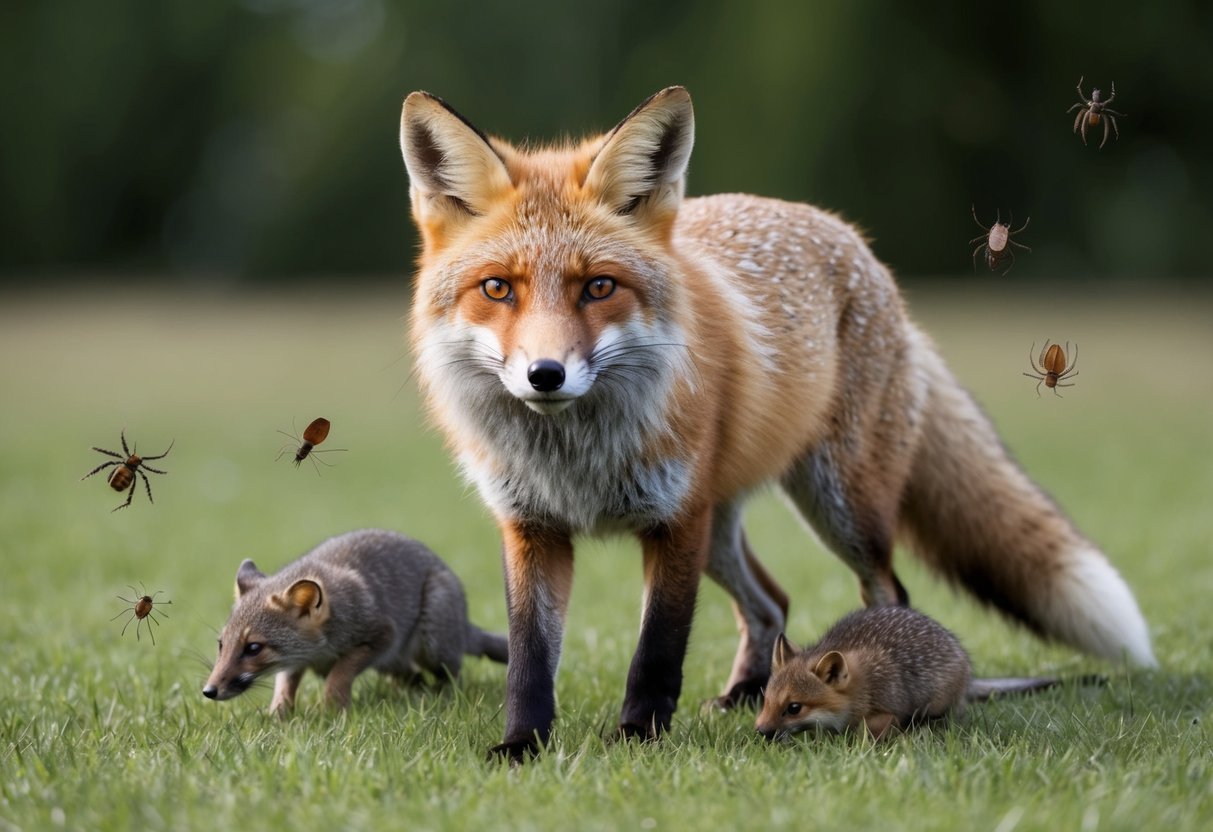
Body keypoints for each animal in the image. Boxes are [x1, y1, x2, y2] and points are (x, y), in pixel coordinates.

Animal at [202, 529, 508, 713]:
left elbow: (339, 674)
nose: (209, 691)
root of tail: (465, 622)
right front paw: (278, 715)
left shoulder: (382, 635)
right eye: (221, 644)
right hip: (394, 666)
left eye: (253, 648)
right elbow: (284, 685)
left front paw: (332, 710)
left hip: (434, 648)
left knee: (453, 677)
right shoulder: (295, 662)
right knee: (416, 678)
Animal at [755, 606, 1062, 741]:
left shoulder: (889, 706)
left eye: (794, 708)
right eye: (765, 701)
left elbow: (873, 726)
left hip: (937, 704)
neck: (863, 687)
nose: (759, 730)